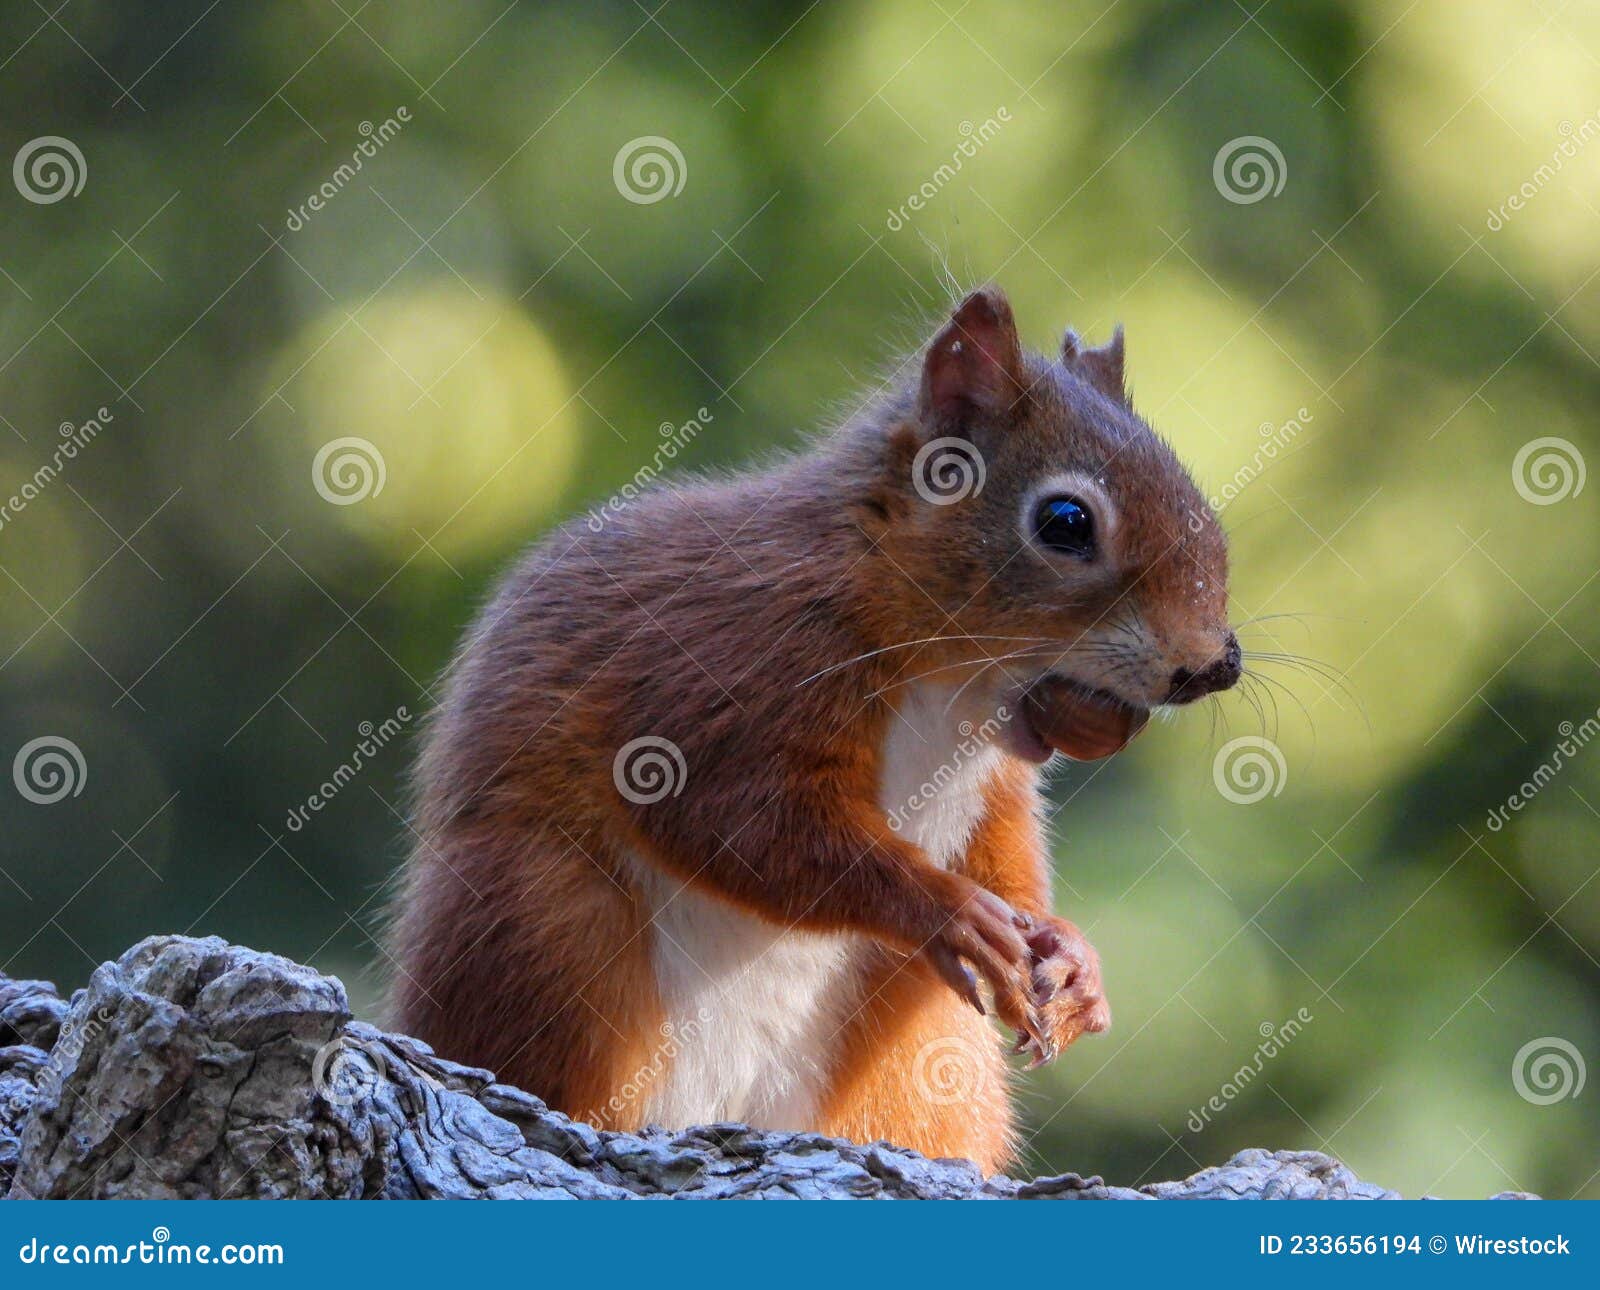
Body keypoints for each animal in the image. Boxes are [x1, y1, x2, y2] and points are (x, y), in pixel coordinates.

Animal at [388, 285, 1239, 1174]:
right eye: (1067, 521)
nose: (1214, 664)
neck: (956, 690)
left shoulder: (998, 782)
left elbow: (1006, 856)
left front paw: (1074, 961)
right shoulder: (729, 672)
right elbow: (745, 824)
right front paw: (943, 909)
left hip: (919, 1052)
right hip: (551, 931)